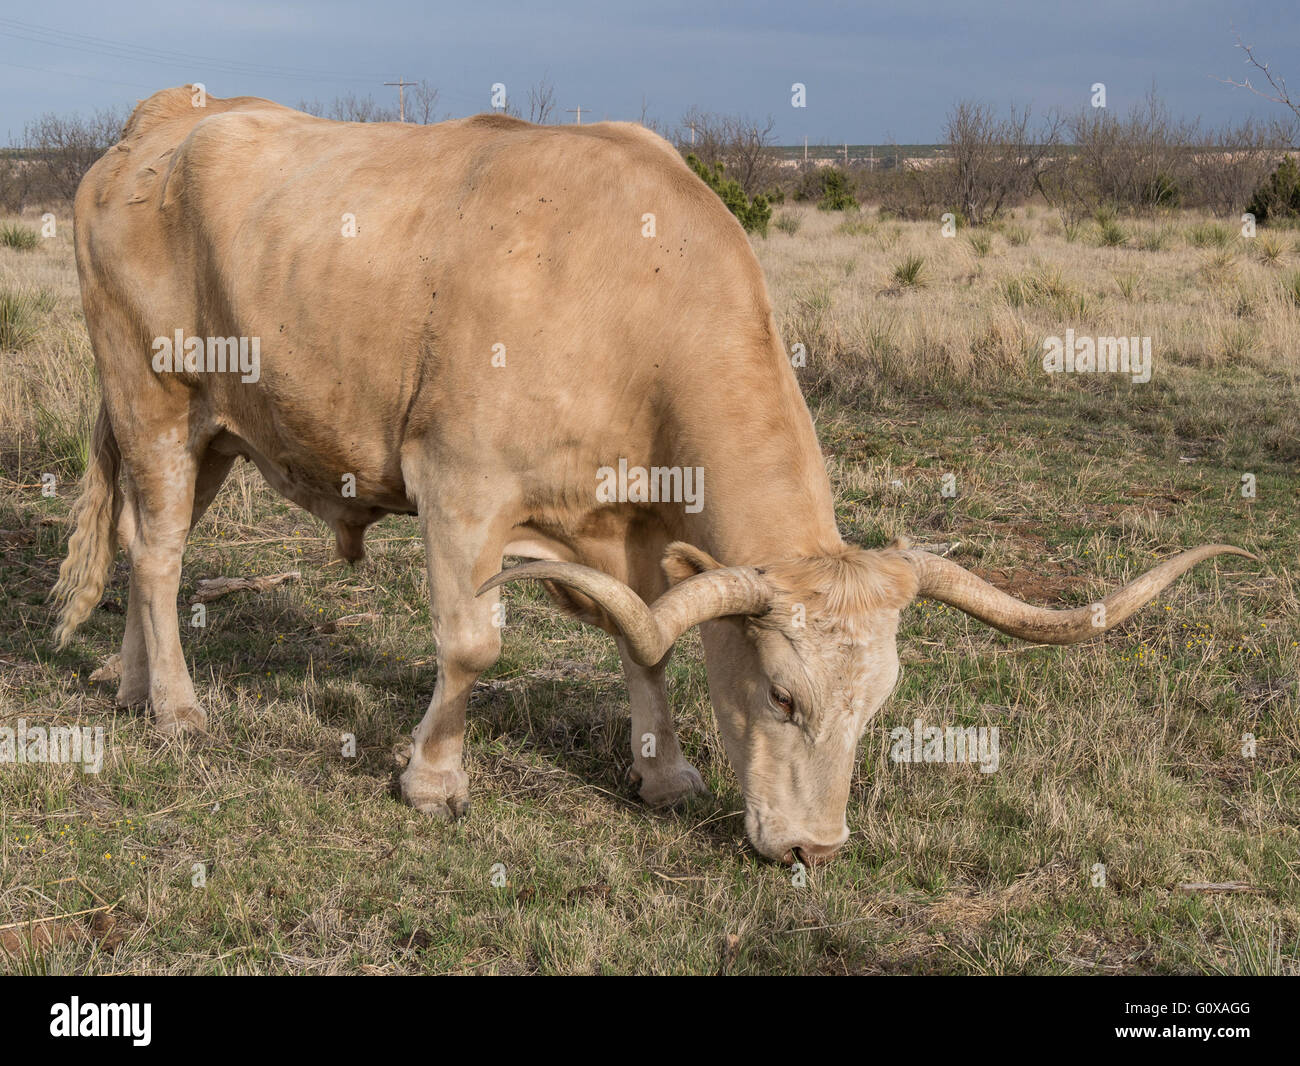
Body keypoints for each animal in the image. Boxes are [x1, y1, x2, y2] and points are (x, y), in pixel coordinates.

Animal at [53, 88, 1253, 865]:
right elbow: (472, 643)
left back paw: (131, 685)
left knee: (144, 543)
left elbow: (651, 641)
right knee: (160, 556)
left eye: (881, 704)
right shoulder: (460, 488)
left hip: (213, 431)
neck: (627, 288)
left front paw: (665, 771)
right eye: (784, 694)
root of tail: (160, 124)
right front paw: (433, 779)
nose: (816, 848)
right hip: (152, 399)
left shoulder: (635, 525)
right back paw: (181, 710)